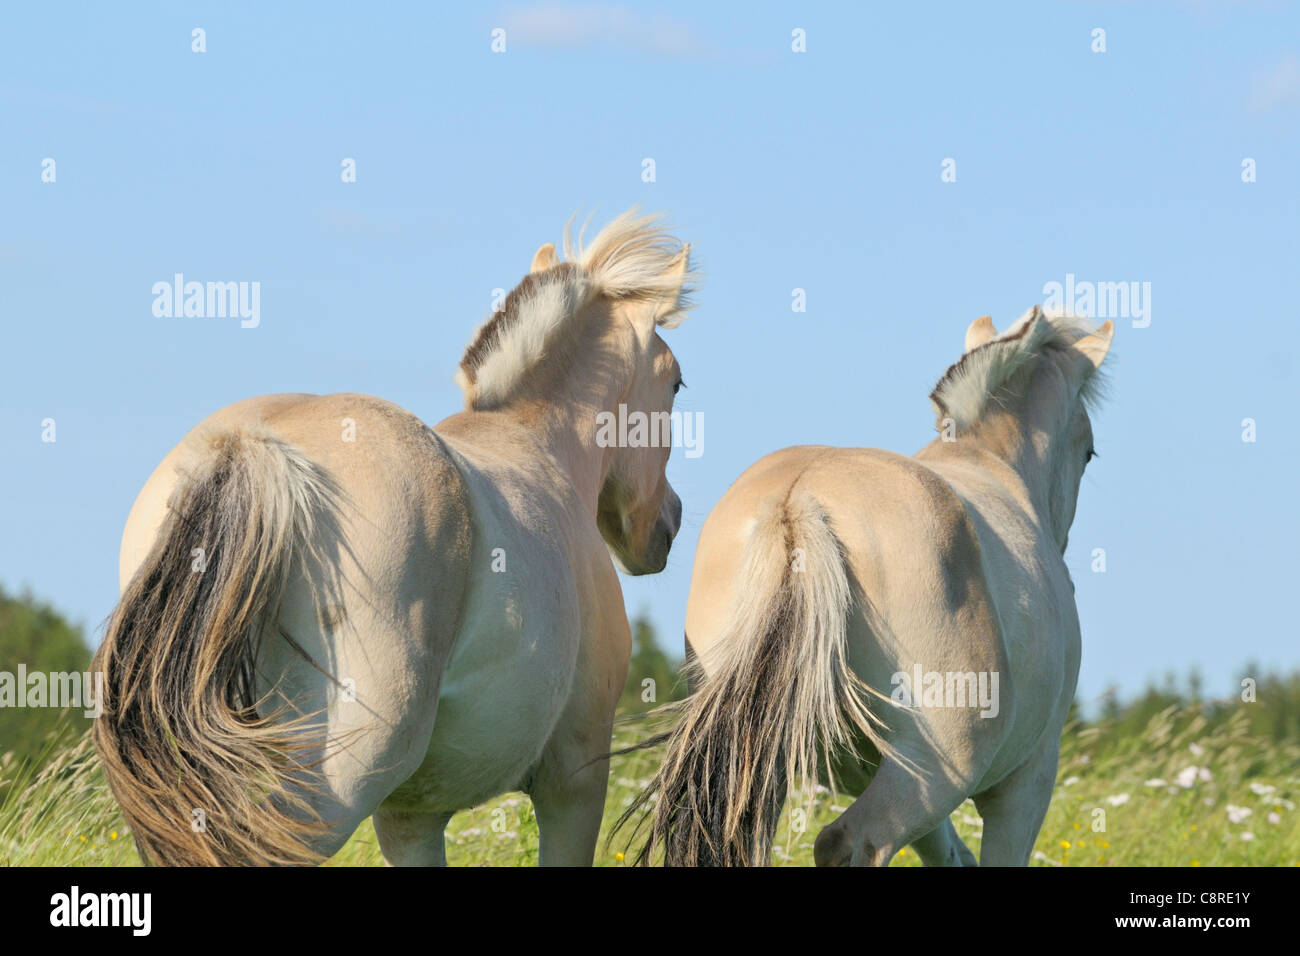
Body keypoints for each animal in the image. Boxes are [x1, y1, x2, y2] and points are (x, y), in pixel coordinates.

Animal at [92, 209, 696, 866]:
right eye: (676, 384)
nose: (670, 521)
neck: (539, 447)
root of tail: (254, 448)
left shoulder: (412, 813)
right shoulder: (574, 784)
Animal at [623, 306, 1113, 866]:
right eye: (1090, 452)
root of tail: (798, 501)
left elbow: (949, 853)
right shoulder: (1025, 784)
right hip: (938, 766)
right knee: (849, 841)